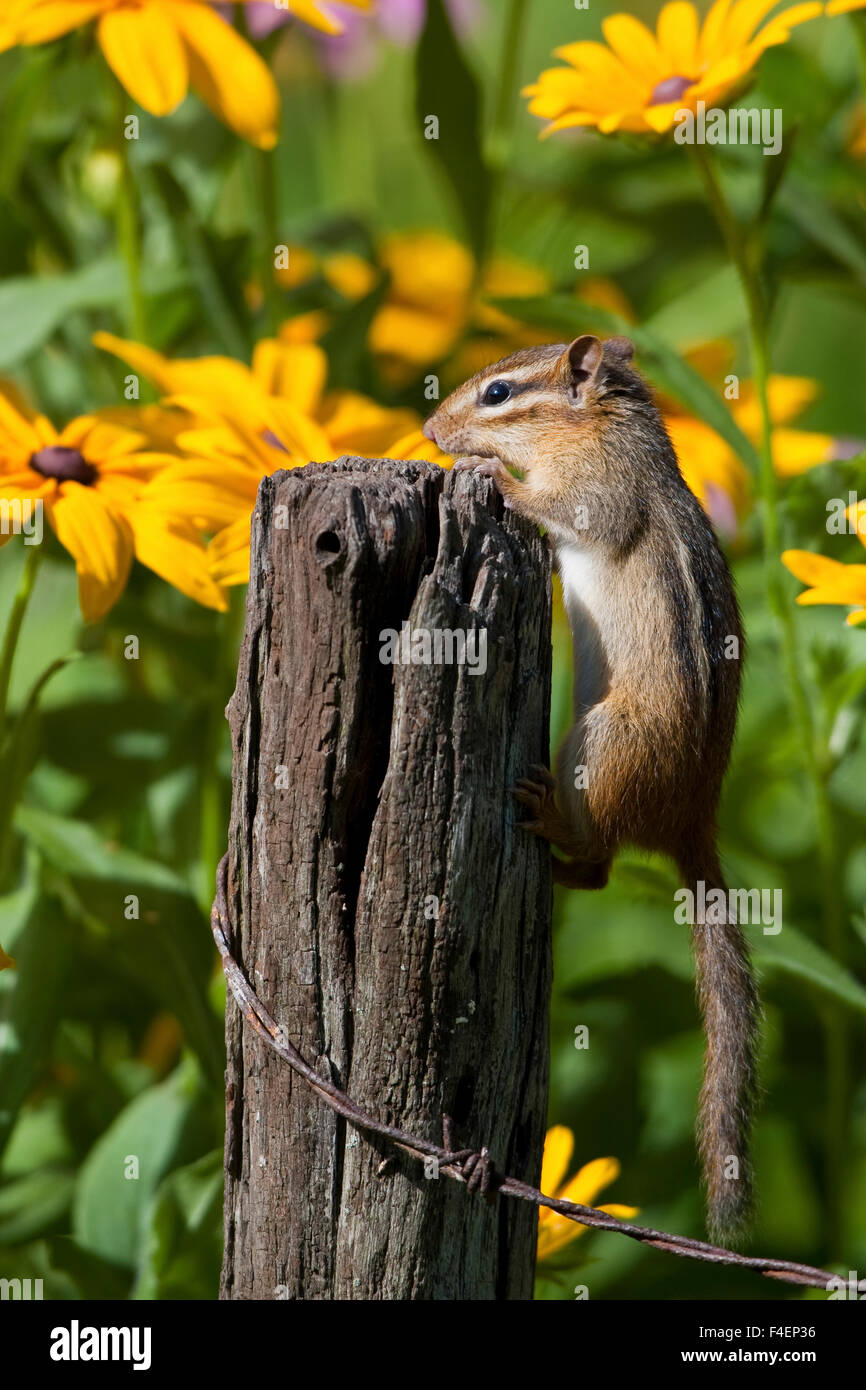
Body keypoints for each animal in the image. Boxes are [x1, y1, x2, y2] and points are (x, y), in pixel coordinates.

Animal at [422, 334, 760, 1243]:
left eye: (497, 393)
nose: (430, 431)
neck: (601, 426)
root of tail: (693, 820)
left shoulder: (598, 488)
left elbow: (560, 508)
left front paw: (490, 475)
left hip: (597, 740)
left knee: (603, 863)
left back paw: (549, 827)